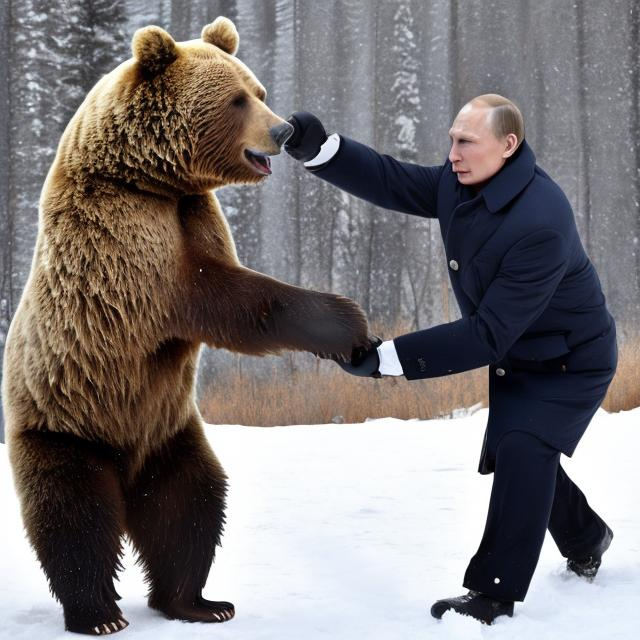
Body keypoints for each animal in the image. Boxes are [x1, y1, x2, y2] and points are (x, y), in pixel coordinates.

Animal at [2, 17, 371, 636]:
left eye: (259, 91)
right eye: (237, 99)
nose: (283, 130)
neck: (151, 178)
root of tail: (128, 474)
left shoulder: (195, 211)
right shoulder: (127, 241)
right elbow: (223, 299)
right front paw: (347, 320)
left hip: (171, 435)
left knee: (192, 506)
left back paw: (196, 601)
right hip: (65, 424)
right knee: (74, 517)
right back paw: (98, 612)